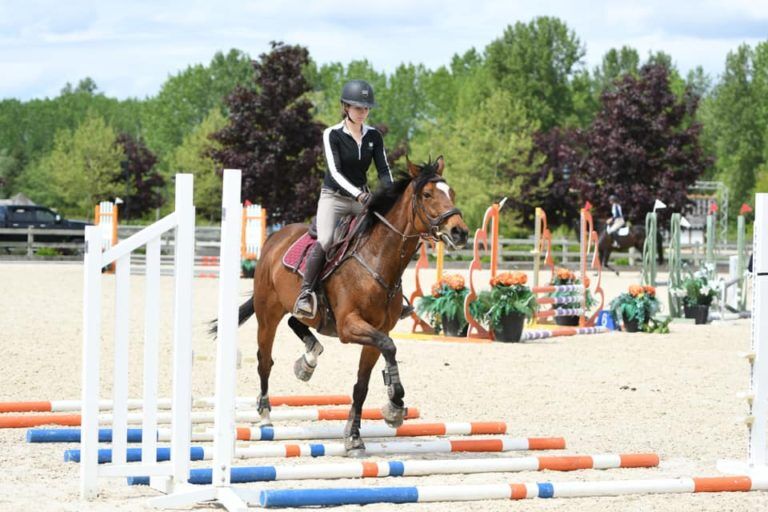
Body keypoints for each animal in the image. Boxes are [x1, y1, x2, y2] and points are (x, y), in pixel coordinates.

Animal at [227, 156, 468, 455]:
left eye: (452, 192)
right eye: (427, 195)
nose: (460, 232)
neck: (378, 259)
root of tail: (274, 238)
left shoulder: (376, 332)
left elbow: (363, 384)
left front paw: (355, 436)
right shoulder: (349, 326)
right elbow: (390, 347)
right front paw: (394, 405)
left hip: (300, 310)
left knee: (297, 321)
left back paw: (307, 361)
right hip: (268, 314)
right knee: (264, 361)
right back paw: (264, 414)